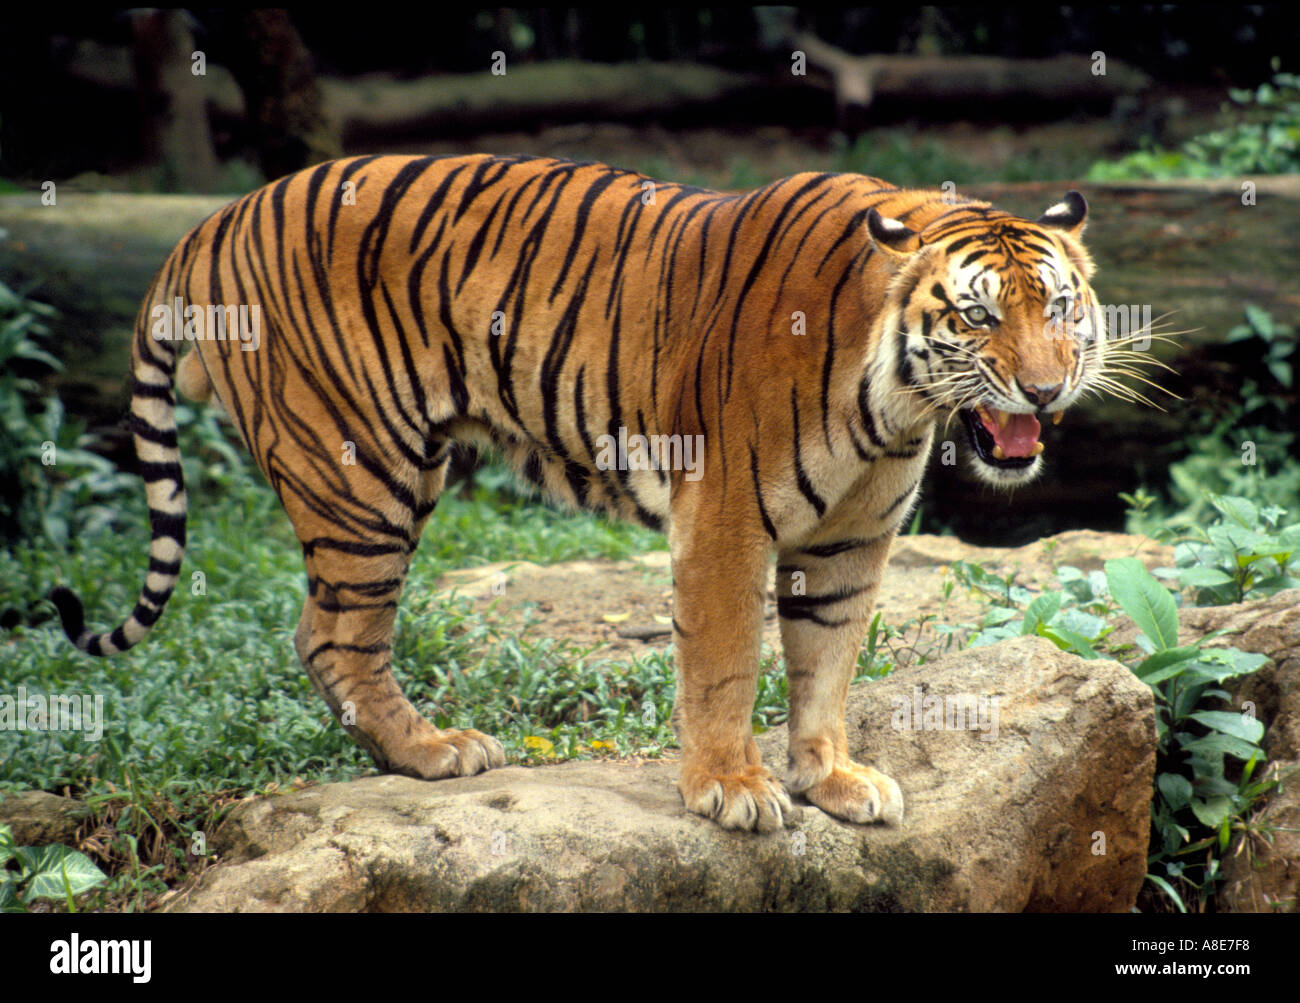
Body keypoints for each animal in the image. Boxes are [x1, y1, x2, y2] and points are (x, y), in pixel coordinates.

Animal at [51, 154, 1108, 833]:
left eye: (1059, 308)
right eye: (977, 317)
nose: (1045, 389)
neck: (896, 401)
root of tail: (213, 218)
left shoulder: (849, 542)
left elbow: (827, 666)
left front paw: (831, 778)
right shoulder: (724, 519)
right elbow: (726, 665)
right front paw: (730, 788)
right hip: (359, 470)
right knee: (333, 635)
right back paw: (431, 752)